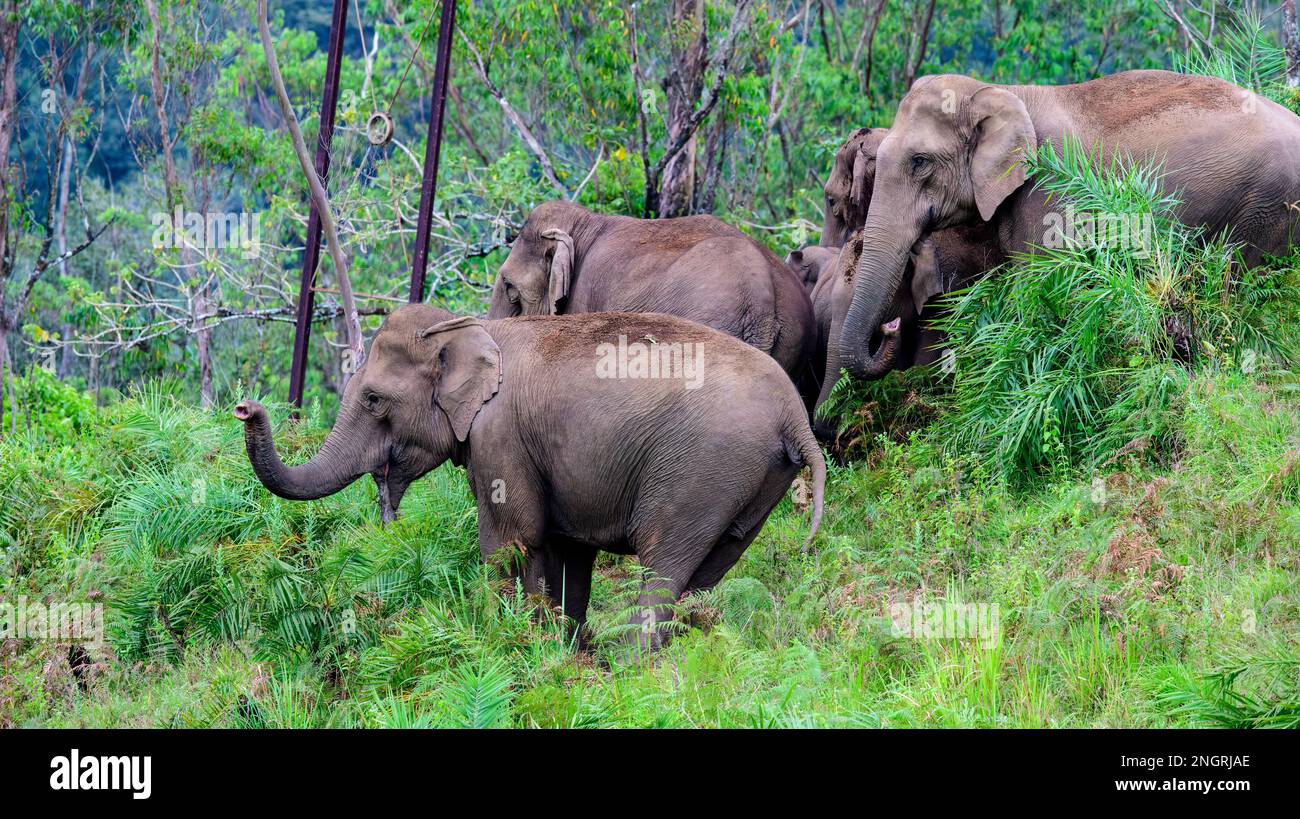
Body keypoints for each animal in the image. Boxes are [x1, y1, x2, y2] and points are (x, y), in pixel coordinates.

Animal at [234, 305, 825, 651]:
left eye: (374, 399)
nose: (245, 407)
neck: (475, 327)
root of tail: (795, 416)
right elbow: (569, 553)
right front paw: (564, 651)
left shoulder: (500, 437)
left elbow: (511, 540)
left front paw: (512, 645)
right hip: (751, 482)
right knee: (707, 571)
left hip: (702, 471)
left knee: (664, 564)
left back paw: (630, 667)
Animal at [839, 70, 1300, 381]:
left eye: (920, 162)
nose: (891, 326)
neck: (1003, 91)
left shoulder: (1048, 192)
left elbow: (1040, 293)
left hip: (1267, 206)